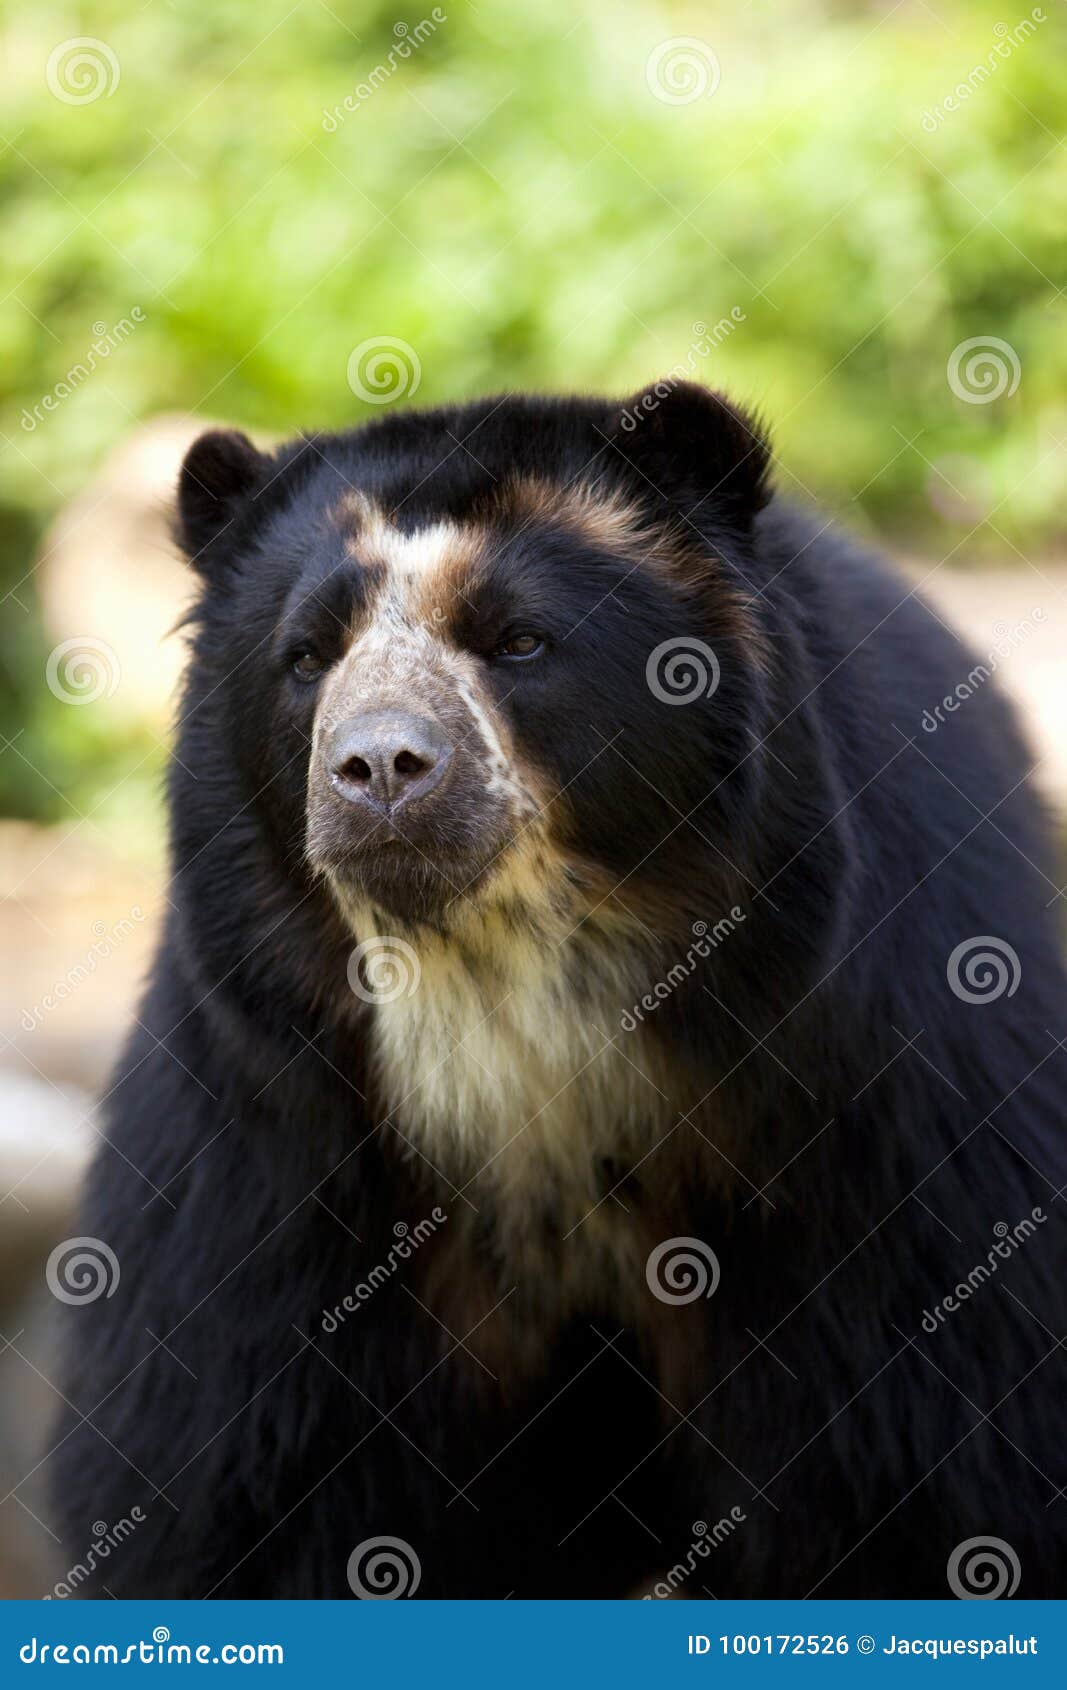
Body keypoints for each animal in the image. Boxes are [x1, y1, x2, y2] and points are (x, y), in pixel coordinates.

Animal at [49, 381, 1066, 1599]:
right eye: (306, 657)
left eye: (519, 642)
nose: (377, 770)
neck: (511, 991)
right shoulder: (281, 1150)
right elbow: (237, 1482)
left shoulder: (868, 1113)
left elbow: (920, 1458)